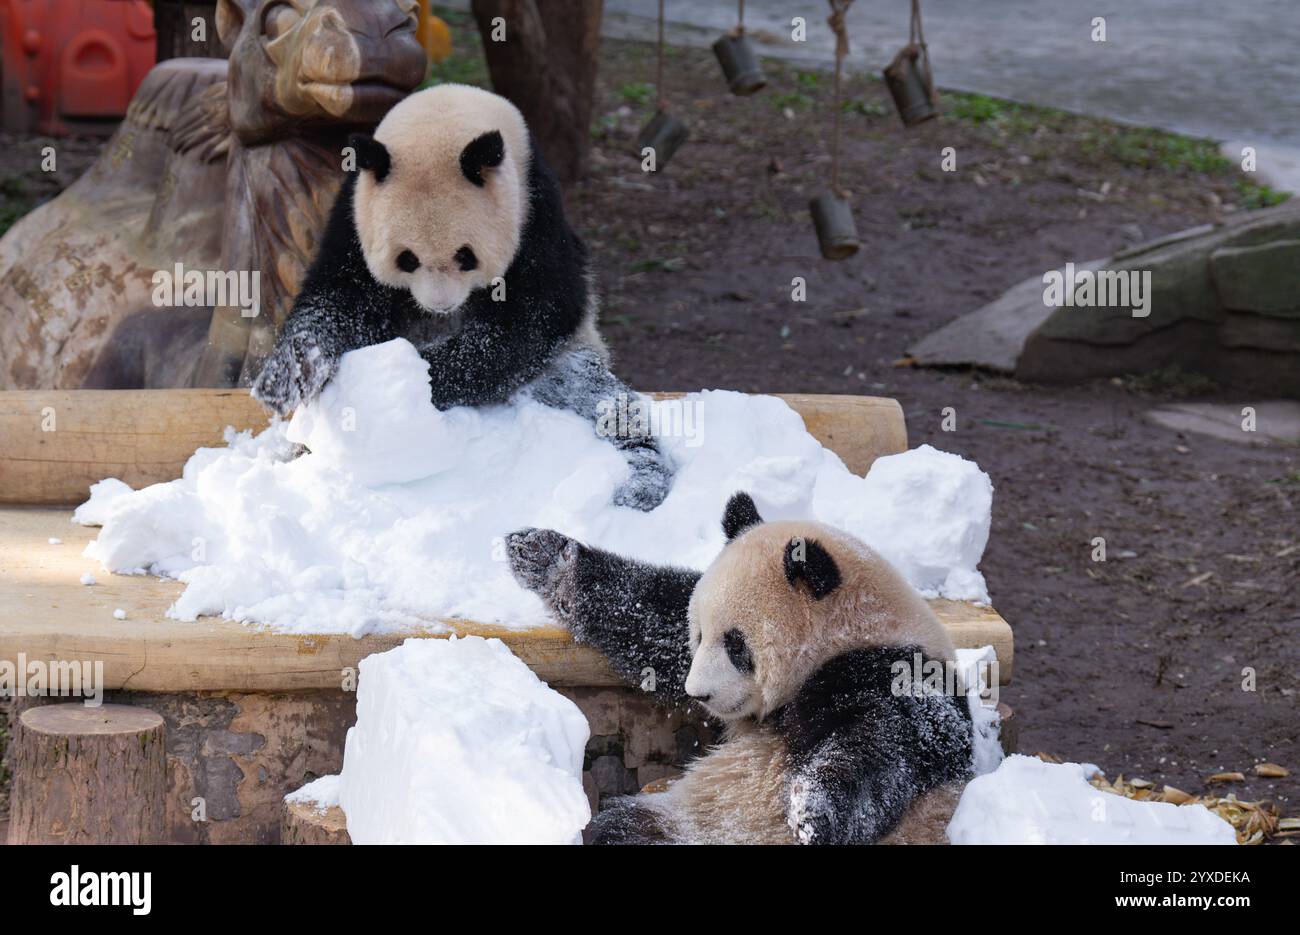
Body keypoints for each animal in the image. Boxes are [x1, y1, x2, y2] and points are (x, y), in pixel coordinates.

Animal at [251, 84, 673, 511]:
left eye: (465, 256)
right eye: (407, 259)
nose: (440, 306)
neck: (444, 114)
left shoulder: (533, 206)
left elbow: (534, 316)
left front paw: (416, 380)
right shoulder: (354, 210)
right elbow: (339, 299)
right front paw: (291, 372)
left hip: (569, 359)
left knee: (604, 403)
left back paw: (641, 479)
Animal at [506, 492, 974, 844]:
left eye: (737, 644)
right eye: (698, 635)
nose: (698, 694)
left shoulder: (894, 668)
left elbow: (890, 740)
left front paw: (812, 810)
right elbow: (651, 616)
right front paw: (542, 554)